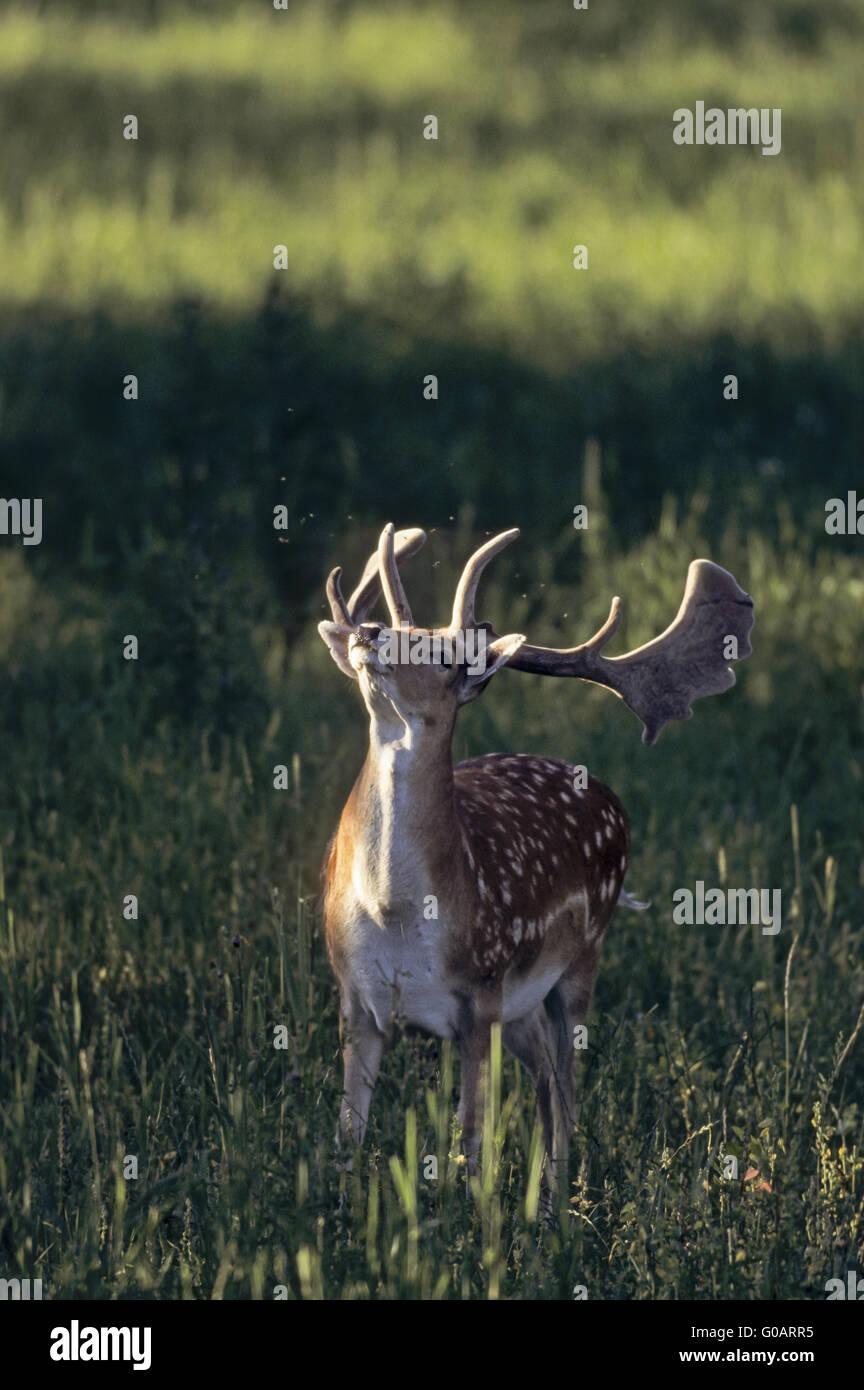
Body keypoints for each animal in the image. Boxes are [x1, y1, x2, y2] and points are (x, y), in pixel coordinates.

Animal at [318, 524, 754, 1194]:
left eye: (445, 657)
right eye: (391, 629)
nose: (368, 634)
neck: (396, 912)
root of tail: (604, 791)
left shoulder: (481, 993)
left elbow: (470, 1143)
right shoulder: (354, 996)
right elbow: (348, 1137)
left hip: (579, 960)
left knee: (568, 1094)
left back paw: (561, 1208)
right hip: (522, 1007)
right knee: (548, 1085)